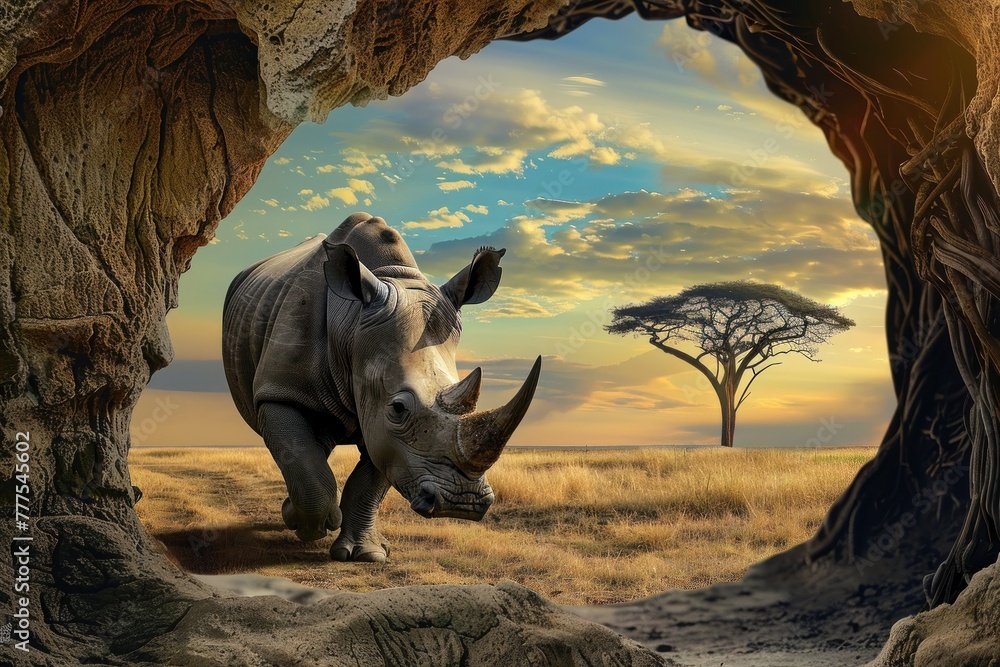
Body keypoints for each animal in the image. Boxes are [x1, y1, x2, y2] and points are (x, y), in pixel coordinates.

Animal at [222, 212, 541, 561]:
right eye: (398, 408)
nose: (462, 502)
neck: (350, 324)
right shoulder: (282, 392)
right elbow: (301, 461)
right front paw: (311, 524)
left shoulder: (384, 430)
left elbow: (372, 480)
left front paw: (367, 553)